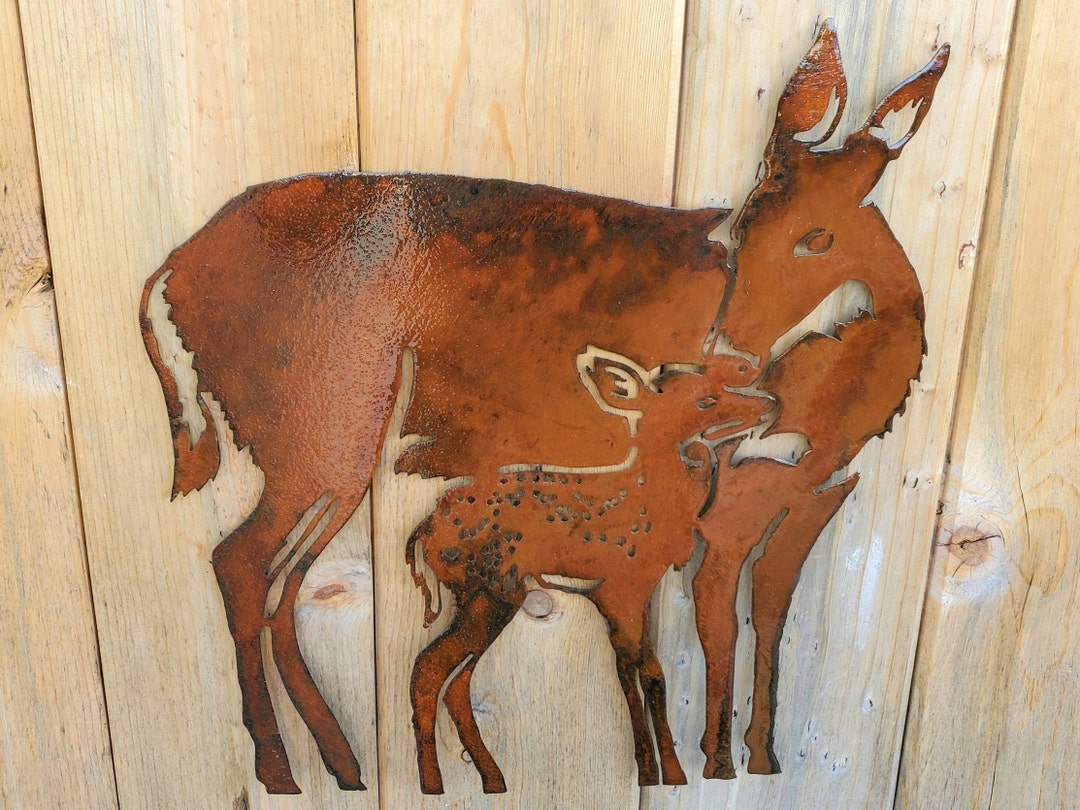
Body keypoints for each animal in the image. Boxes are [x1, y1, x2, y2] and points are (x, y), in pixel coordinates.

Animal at [404, 346, 774, 793]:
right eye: (705, 401)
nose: (768, 405)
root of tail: (423, 533)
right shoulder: (618, 590)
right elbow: (635, 675)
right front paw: (652, 773)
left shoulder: (637, 592)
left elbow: (651, 672)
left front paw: (669, 773)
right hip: (488, 592)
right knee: (429, 669)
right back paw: (435, 782)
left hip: (490, 600)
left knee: (453, 681)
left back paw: (492, 779)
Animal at [688, 23, 950, 779]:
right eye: (740, 226)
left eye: (817, 239)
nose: (728, 361)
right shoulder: (730, 509)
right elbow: (718, 616)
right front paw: (717, 762)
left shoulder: (820, 498)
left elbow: (772, 609)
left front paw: (763, 756)